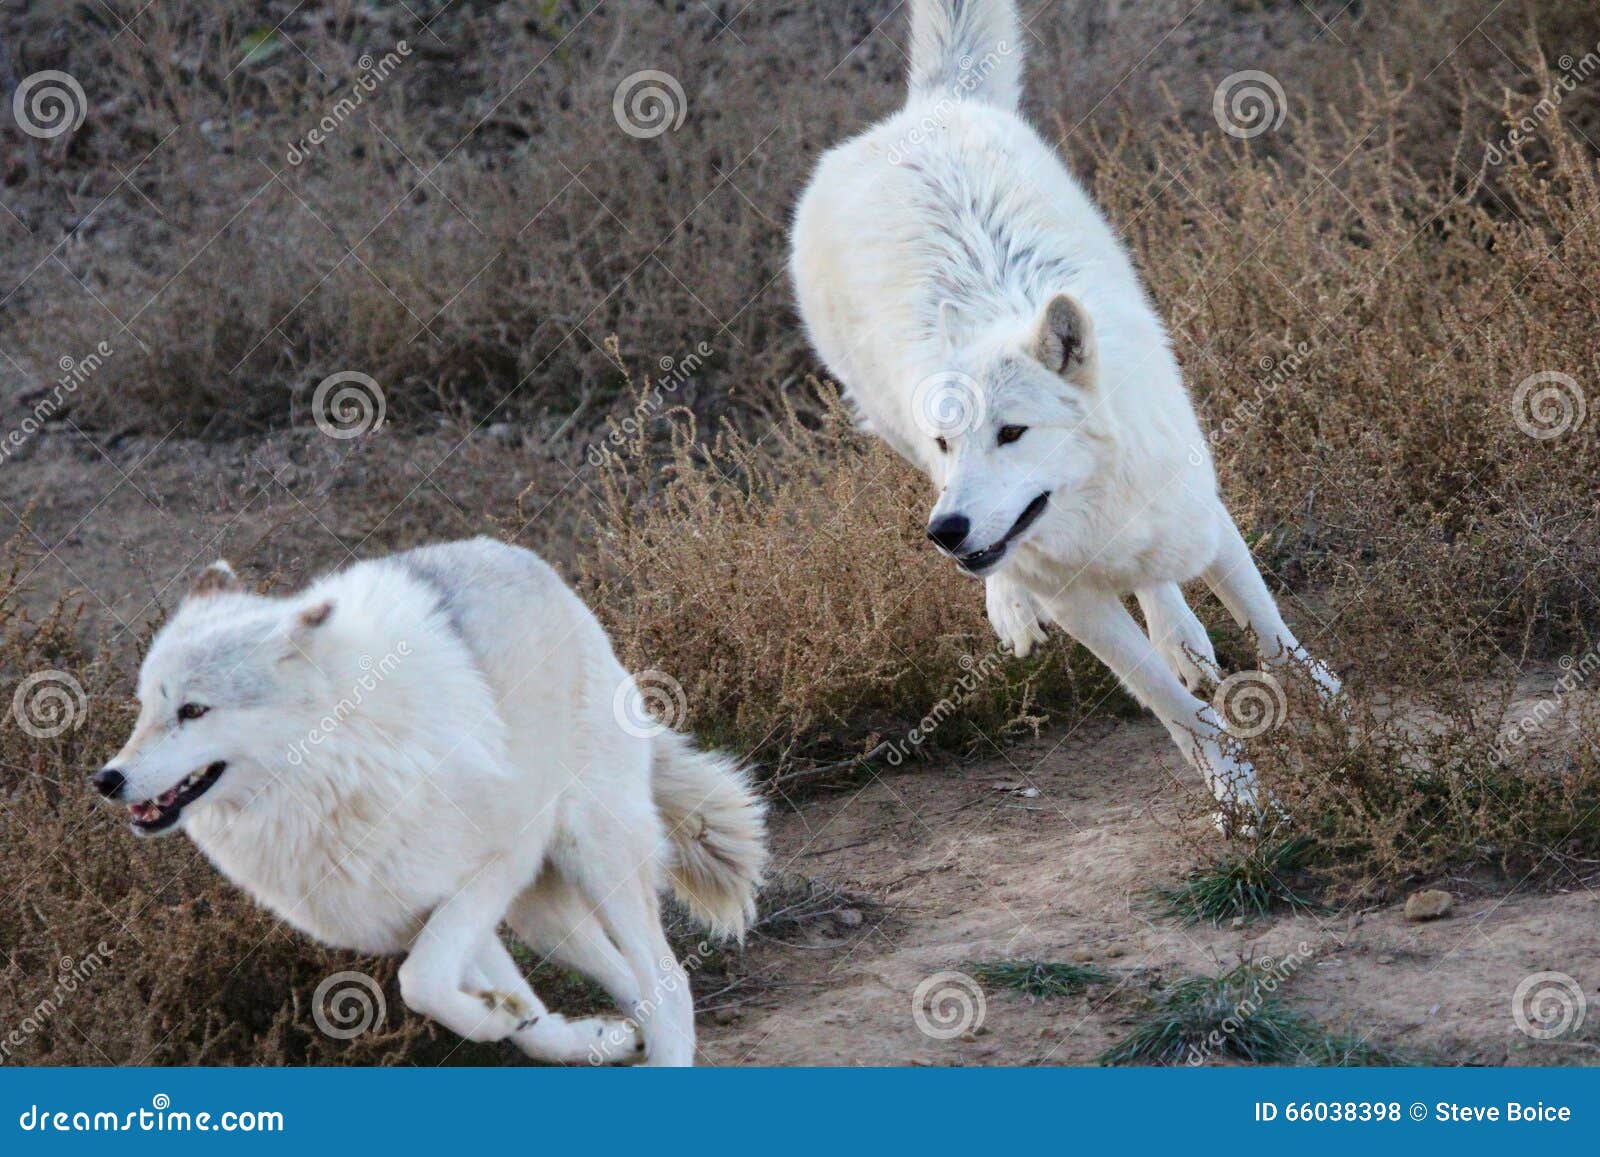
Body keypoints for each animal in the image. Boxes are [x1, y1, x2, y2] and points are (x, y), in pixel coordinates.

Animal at [94, 537, 766, 1066]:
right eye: (145, 707)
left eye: (193, 710)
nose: (107, 780)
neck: (334, 767)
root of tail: (534, 566)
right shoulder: (422, 907)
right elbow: (512, 1014)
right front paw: (525, 1020)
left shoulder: (496, 862)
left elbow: (418, 982)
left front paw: (500, 1016)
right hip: (544, 920)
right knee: (632, 984)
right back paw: (618, 1038)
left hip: (596, 862)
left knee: (669, 982)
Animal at [790, 0, 1340, 817]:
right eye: (950, 443)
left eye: (1013, 433)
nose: (944, 533)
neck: (1098, 502)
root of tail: (920, 113)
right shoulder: (1075, 600)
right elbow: (1176, 707)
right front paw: (1238, 800)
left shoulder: (1205, 522)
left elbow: (1276, 640)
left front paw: (1351, 726)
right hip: (897, 435)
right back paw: (1019, 608)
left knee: (1161, 586)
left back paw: (1182, 635)